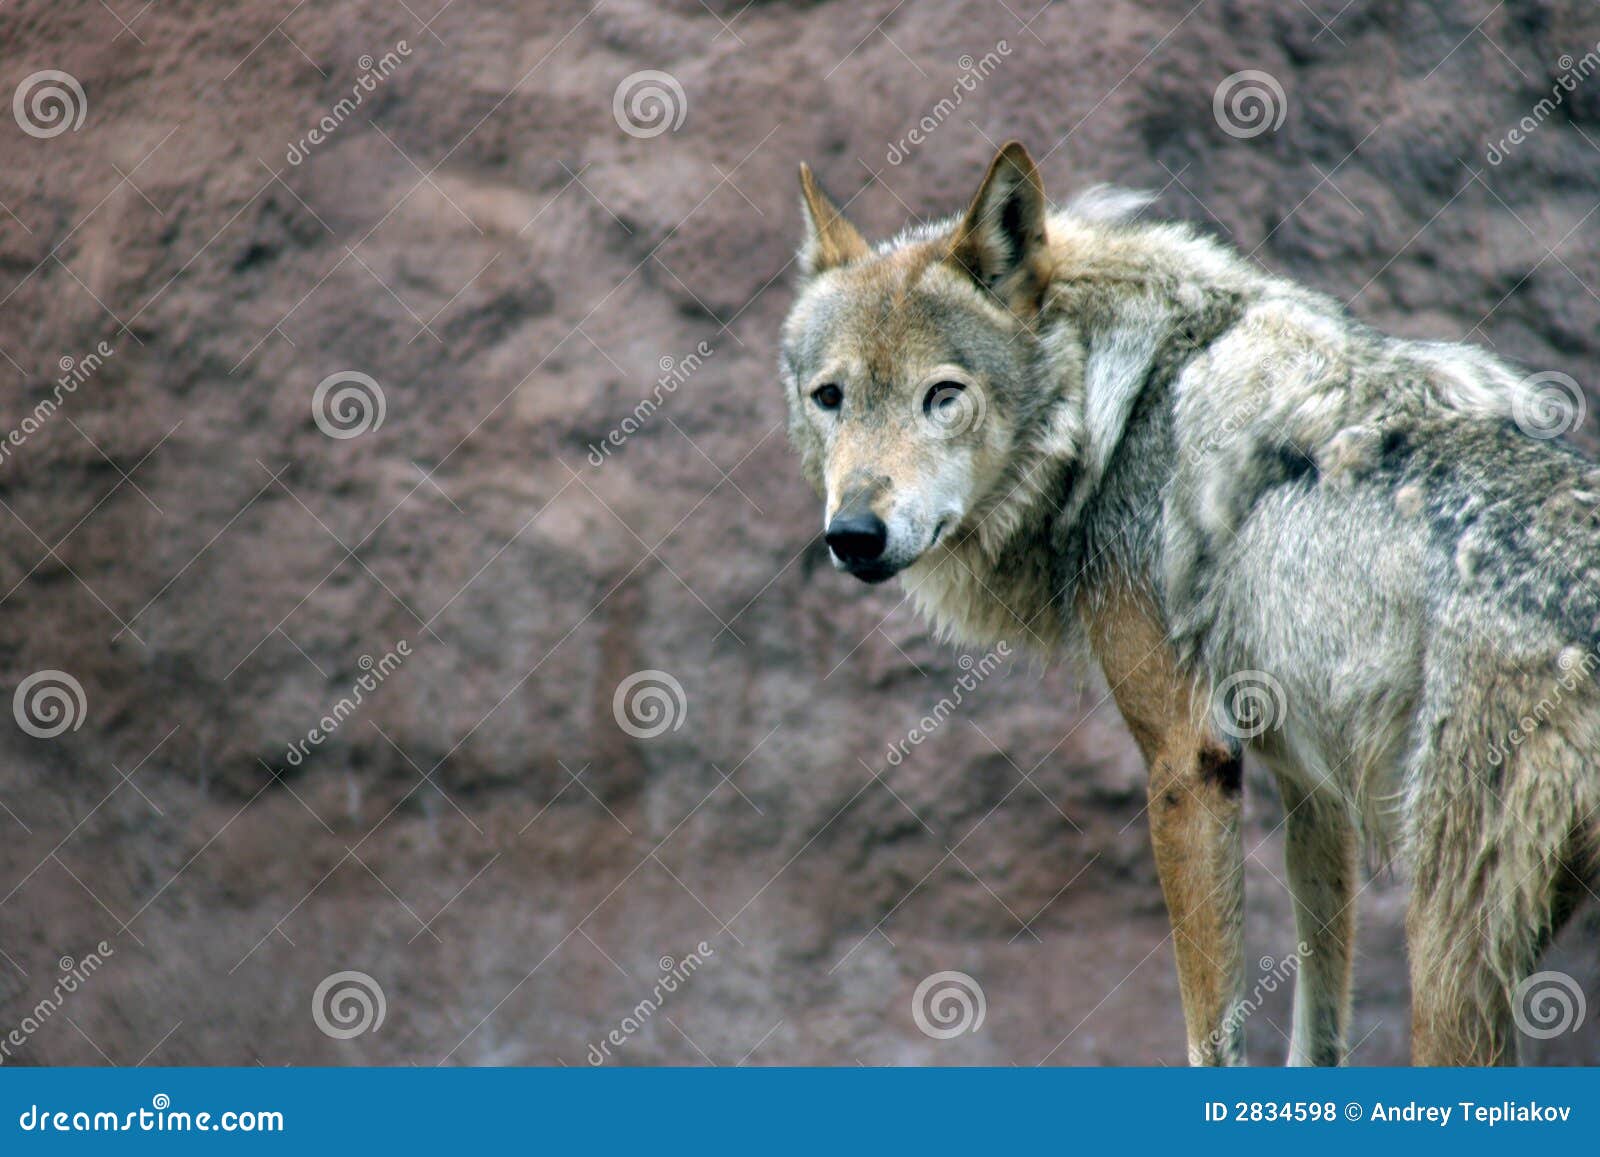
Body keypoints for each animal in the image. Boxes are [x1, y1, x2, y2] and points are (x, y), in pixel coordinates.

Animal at [779, 141, 1600, 1066]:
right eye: (830, 396)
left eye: (943, 394)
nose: (854, 533)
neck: (1111, 403)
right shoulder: (1311, 785)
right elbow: (1319, 1026)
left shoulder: (1189, 760)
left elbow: (1212, 1031)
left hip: (1448, 950)